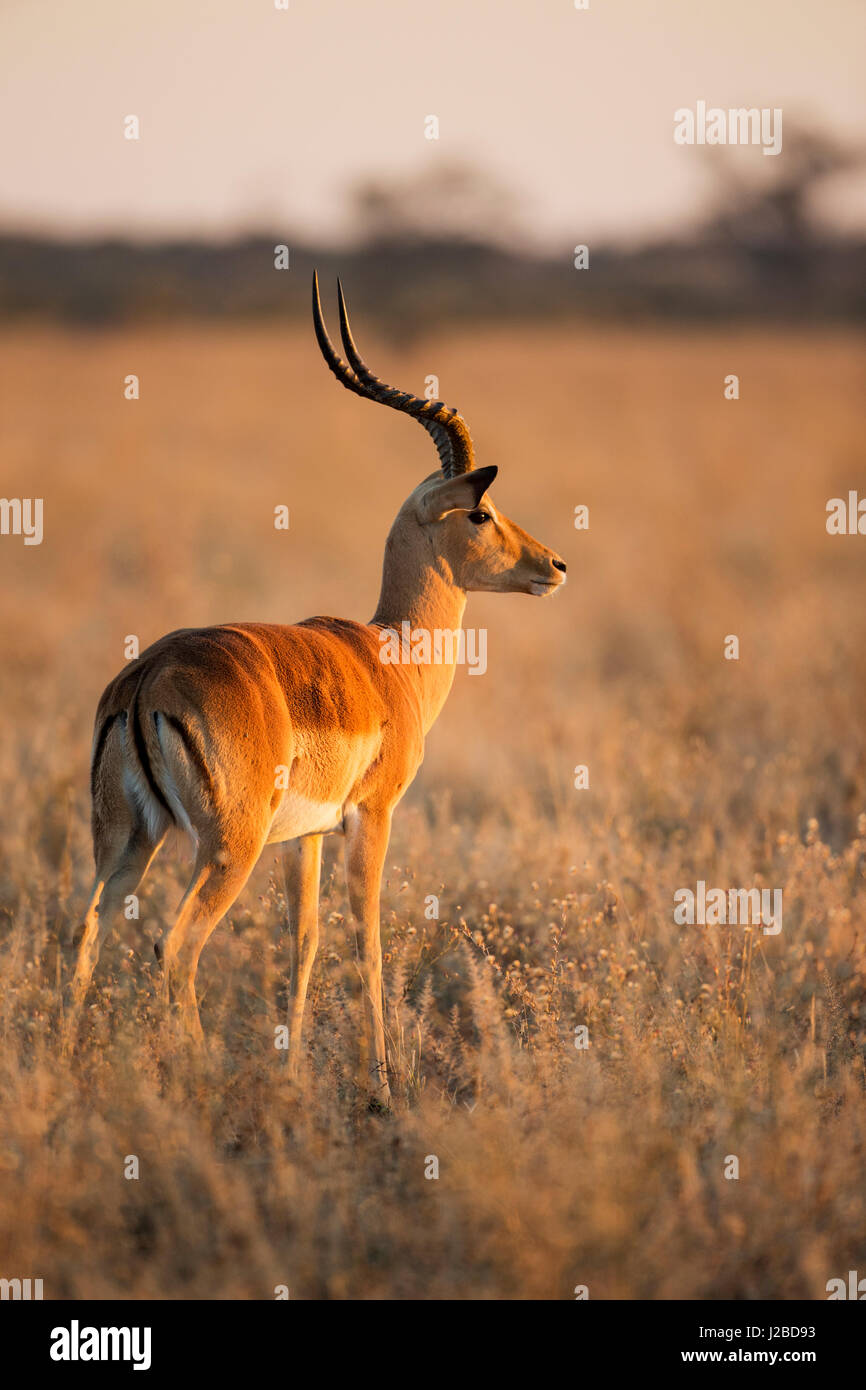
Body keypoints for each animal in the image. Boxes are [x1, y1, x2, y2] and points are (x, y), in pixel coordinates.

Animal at [70, 273, 566, 1103]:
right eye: (482, 510)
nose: (554, 565)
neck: (392, 659)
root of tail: (145, 680)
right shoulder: (373, 814)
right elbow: (366, 939)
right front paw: (382, 1091)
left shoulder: (303, 836)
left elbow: (302, 941)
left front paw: (296, 1071)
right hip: (223, 847)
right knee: (175, 949)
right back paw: (206, 1083)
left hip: (128, 838)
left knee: (84, 938)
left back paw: (63, 1073)